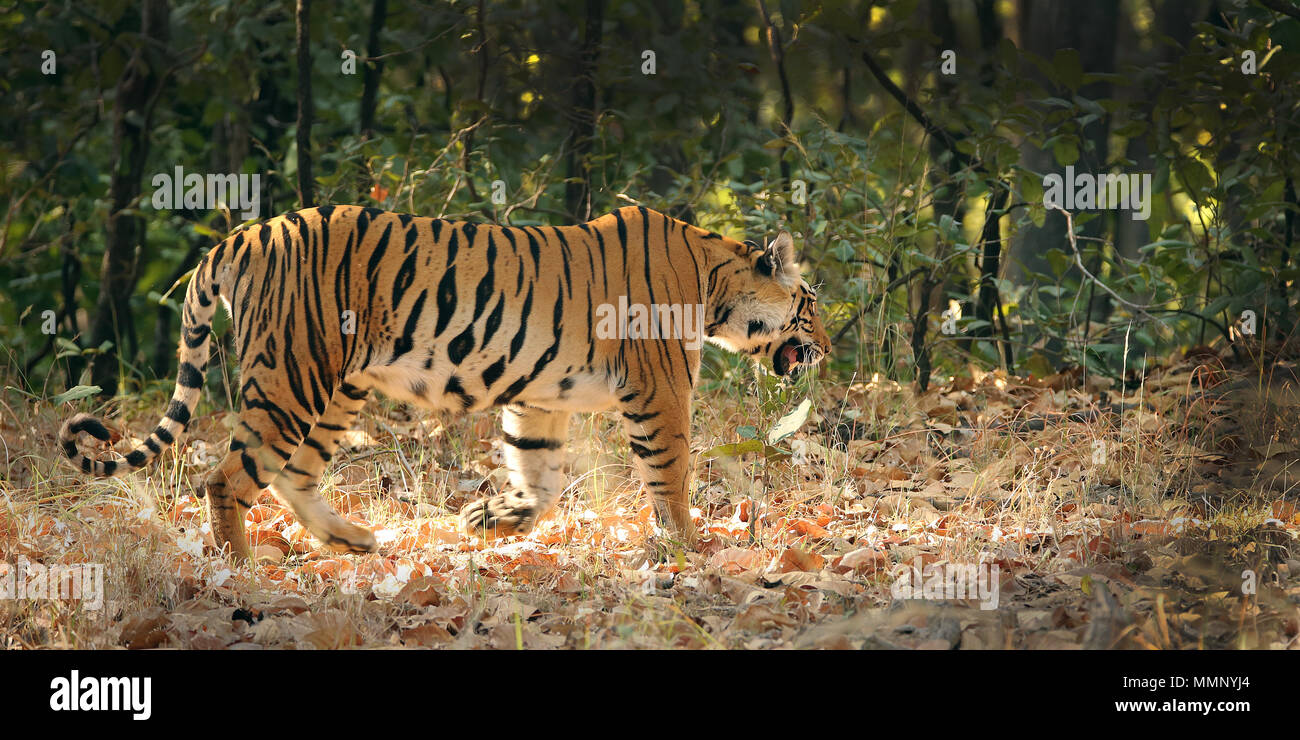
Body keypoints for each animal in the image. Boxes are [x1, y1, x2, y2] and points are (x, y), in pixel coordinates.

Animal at [59, 204, 830, 559]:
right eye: (813, 305)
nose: (825, 349)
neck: (715, 284)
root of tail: (245, 233)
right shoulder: (661, 391)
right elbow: (670, 474)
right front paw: (689, 547)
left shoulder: (540, 397)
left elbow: (541, 479)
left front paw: (492, 519)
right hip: (292, 378)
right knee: (227, 479)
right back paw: (239, 567)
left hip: (335, 388)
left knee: (291, 475)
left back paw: (353, 541)